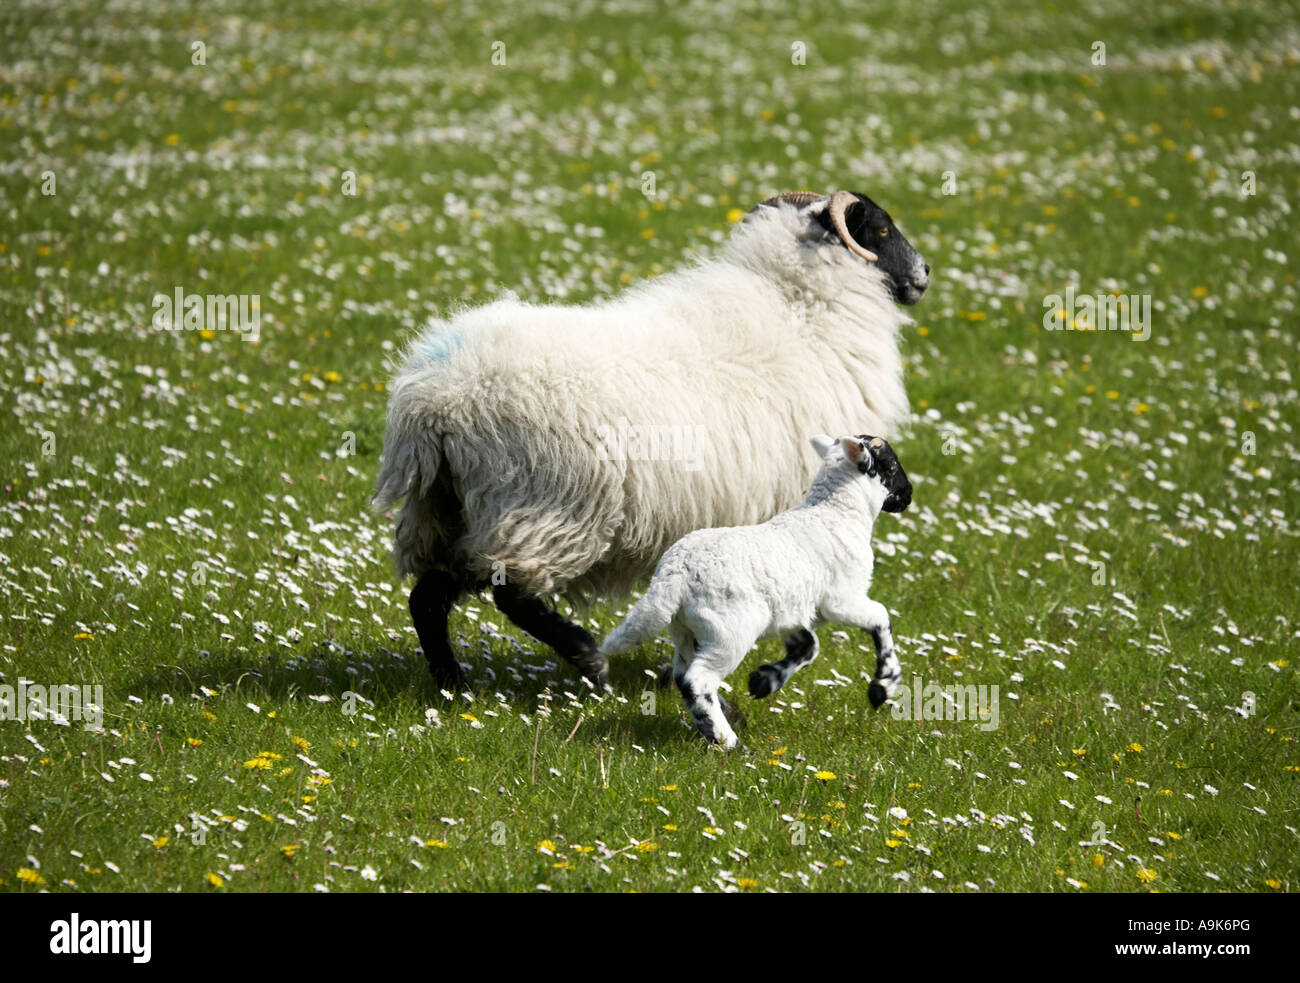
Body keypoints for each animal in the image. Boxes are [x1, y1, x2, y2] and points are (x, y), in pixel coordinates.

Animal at [373, 190, 929, 691]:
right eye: (880, 229)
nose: (923, 274)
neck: (803, 310)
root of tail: (436, 398)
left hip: (450, 513)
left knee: (428, 597)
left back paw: (453, 684)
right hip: (544, 509)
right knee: (510, 592)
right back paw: (587, 659)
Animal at [598, 434, 911, 748]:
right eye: (892, 466)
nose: (908, 495)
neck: (837, 510)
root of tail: (674, 574)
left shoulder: (791, 611)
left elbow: (808, 646)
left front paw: (764, 681)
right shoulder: (842, 600)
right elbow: (881, 618)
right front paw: (884, 684)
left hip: (690, 631)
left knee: (681, 674)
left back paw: (725, 717)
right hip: (730, 631)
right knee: (697, 680)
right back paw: (728, 741)